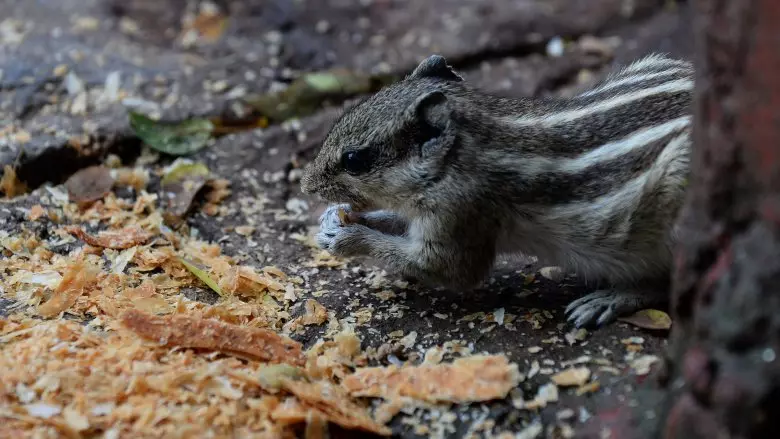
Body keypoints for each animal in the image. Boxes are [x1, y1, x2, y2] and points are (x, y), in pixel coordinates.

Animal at [302, 53, 692, 328]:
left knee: (665, 286)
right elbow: (393, 221)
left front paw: (348, 238)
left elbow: (446, 269)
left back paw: (607, 300)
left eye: (354, 159)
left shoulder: (458, 219)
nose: (307, 184)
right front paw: (333, 220)